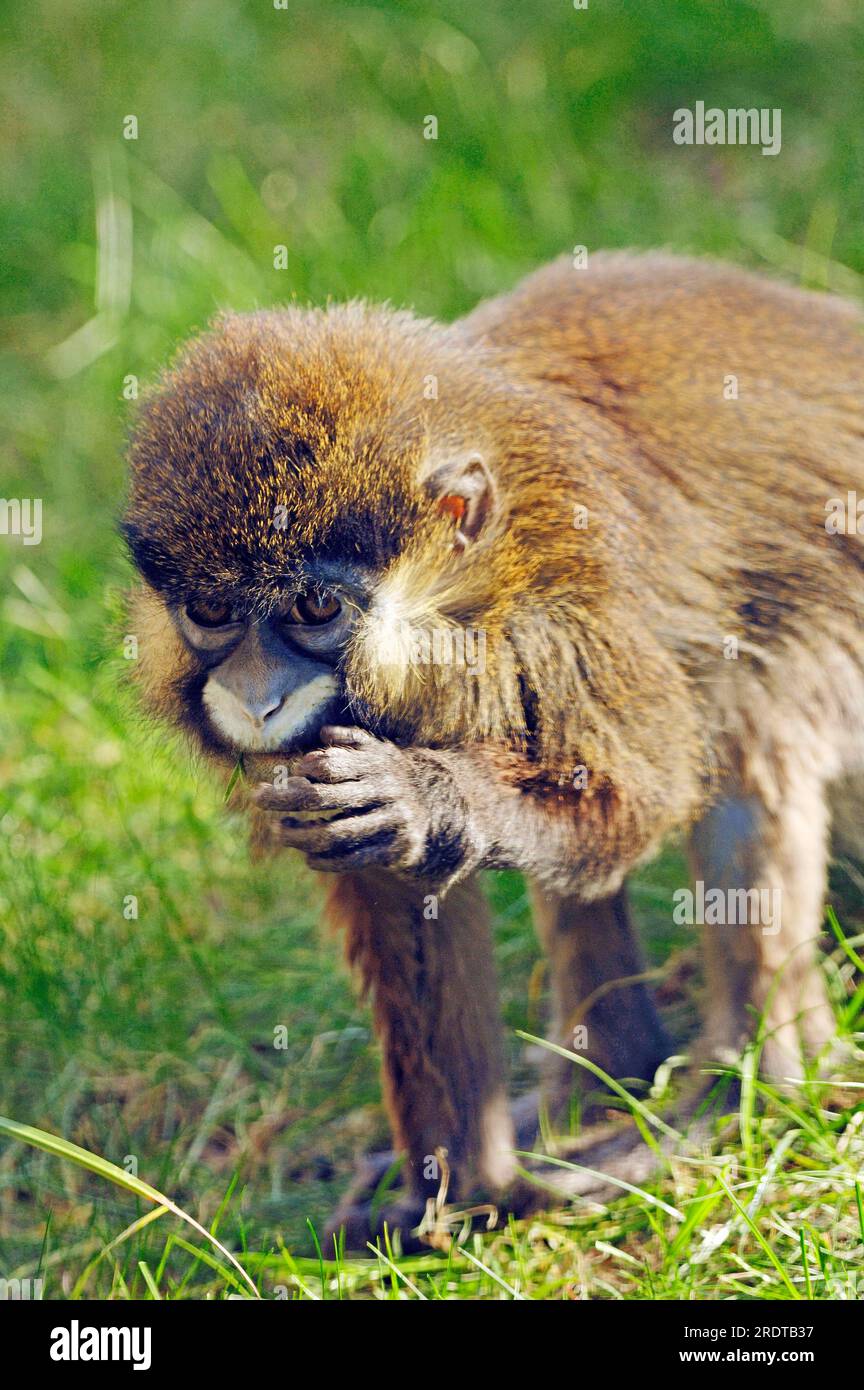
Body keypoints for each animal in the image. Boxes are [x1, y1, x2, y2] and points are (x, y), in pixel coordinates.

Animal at [122, 250, 864, 1251]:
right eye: (210, 612)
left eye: (313, 607)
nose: (254, 698)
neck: (461, 598)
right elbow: (399, 882)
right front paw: (453, 1197)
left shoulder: (575, 599)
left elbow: (635, 797)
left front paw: (432, 797)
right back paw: (605, 1081)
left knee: (752, 718)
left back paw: (746, 1089)